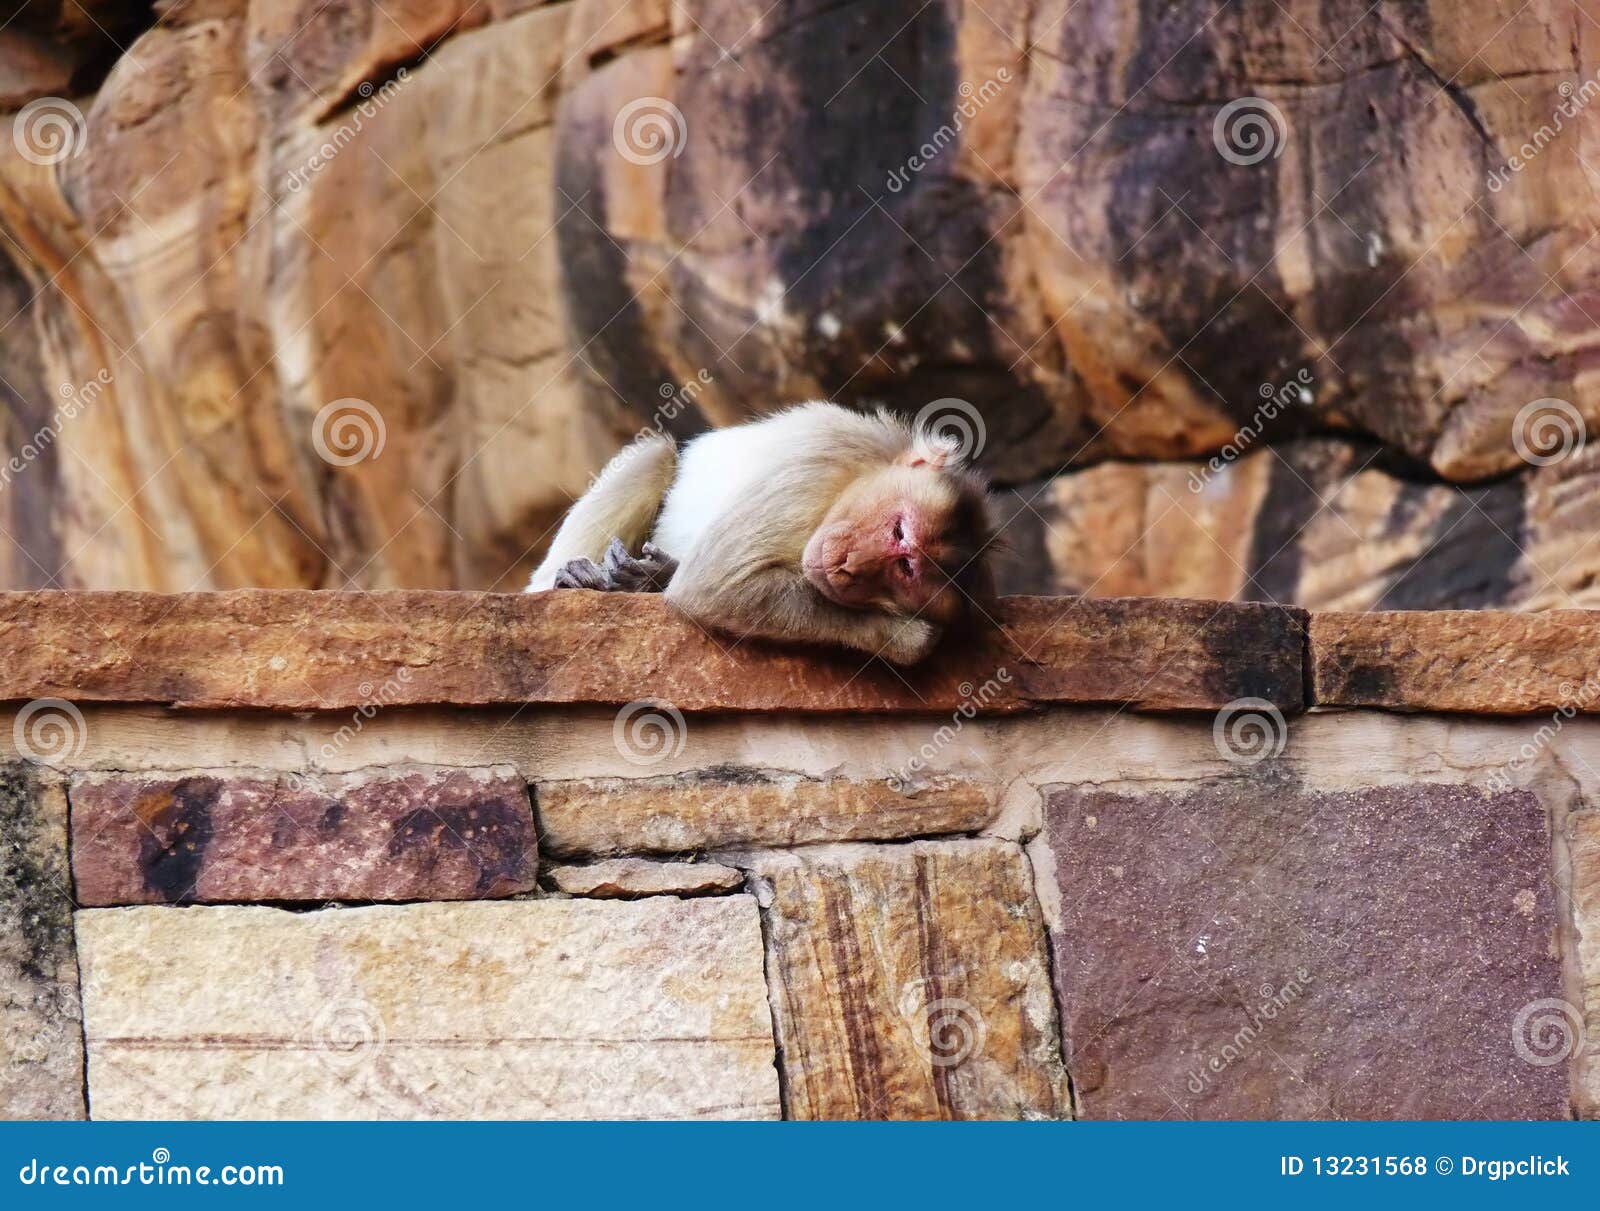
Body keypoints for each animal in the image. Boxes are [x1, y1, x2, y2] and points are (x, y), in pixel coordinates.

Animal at [525, 402, 996, 664]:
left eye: (904, 571)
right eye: (898, 530)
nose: (849, 565)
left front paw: (652, 578)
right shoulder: (829, 450)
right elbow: (713, 582)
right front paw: (906, 639)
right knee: (658, 454)